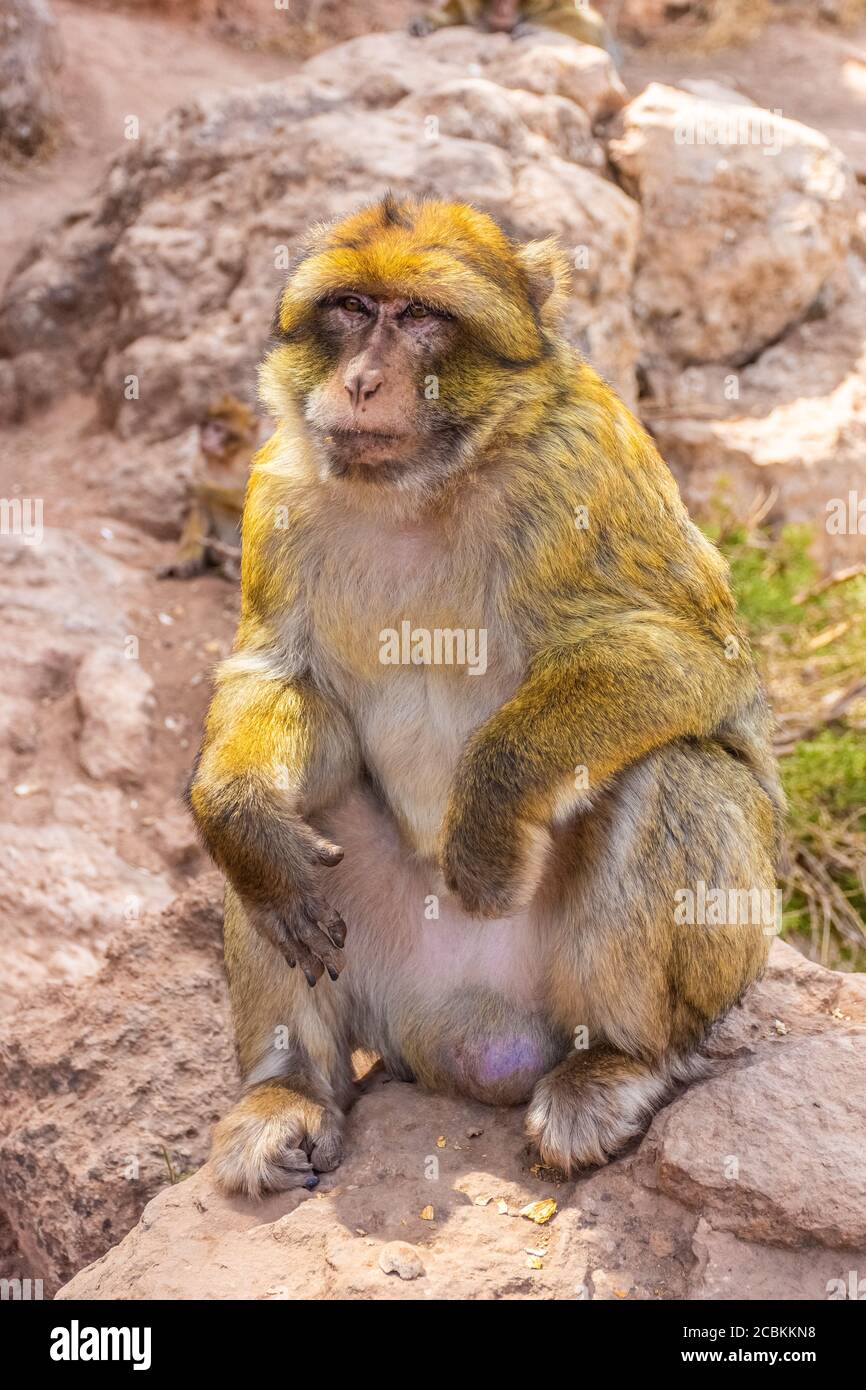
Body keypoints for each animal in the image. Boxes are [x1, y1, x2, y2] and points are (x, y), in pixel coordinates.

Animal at [159, 394, 258, 582]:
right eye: (206, 426)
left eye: (218, 429)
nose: (205, 438)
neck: (223, 461)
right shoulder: (198, 463)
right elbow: (200, 510)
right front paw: (184, 560)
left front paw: (203, 488)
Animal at [188, 194, 783, 1197]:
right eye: (351, 307)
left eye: (423, 317)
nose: (361, 382)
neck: (426, 487)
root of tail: (473, 1038)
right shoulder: (276, 487)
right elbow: (280, 680)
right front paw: (242, 818)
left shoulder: (584, 465)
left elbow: (698, 658)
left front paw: (491, 812)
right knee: (304, 829)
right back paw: (291, 1090)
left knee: (670, 768)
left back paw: (621, 1065)